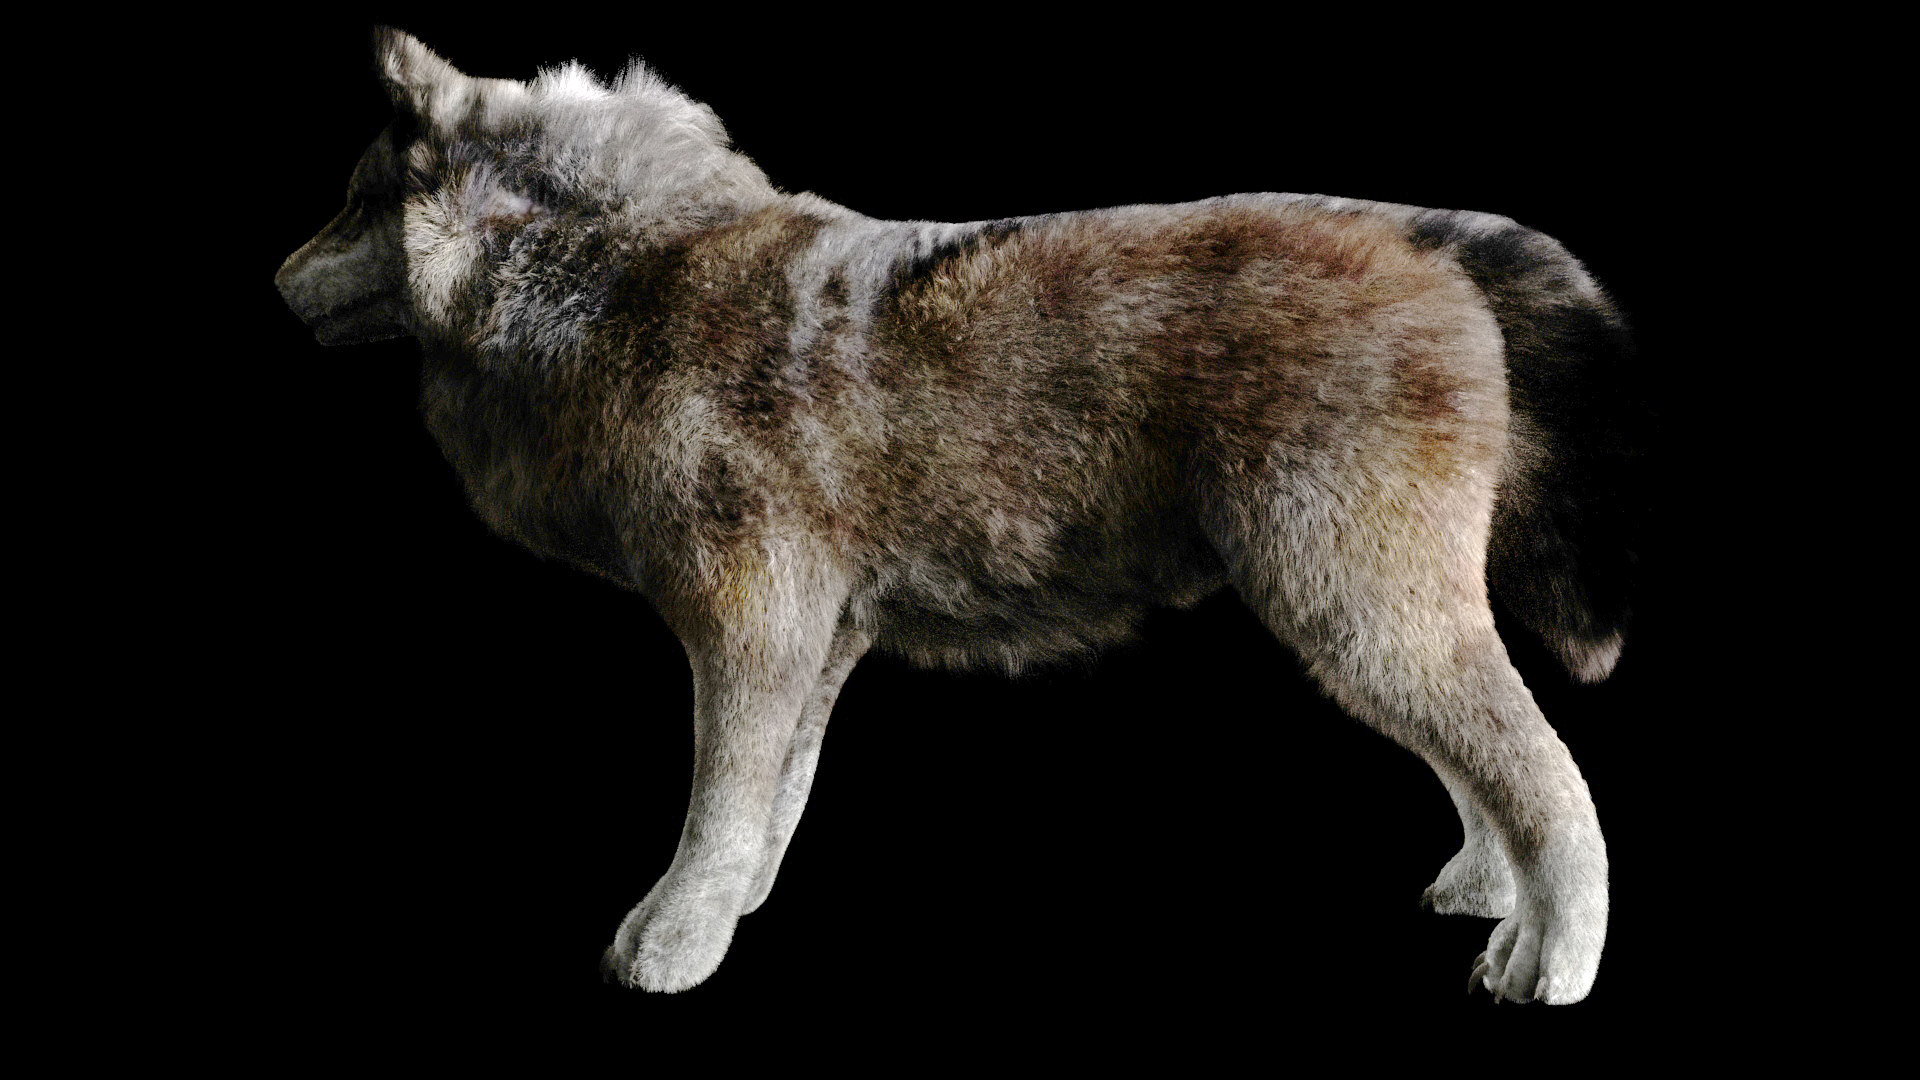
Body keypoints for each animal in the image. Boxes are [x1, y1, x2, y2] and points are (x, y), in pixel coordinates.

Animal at [276, 29, 1637, 1002]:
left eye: (354, 201)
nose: (276, 282)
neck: (624, 287)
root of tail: (1432, 245)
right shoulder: (815, 646)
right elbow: (768, 810)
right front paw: (731, 912)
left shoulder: (748, 639)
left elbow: (715, 809)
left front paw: (668, 948)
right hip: (1370, 631)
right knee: (1494, 766)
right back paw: (1486, 899)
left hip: (1355, 621)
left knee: (1548, 779)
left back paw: (1547, 966)